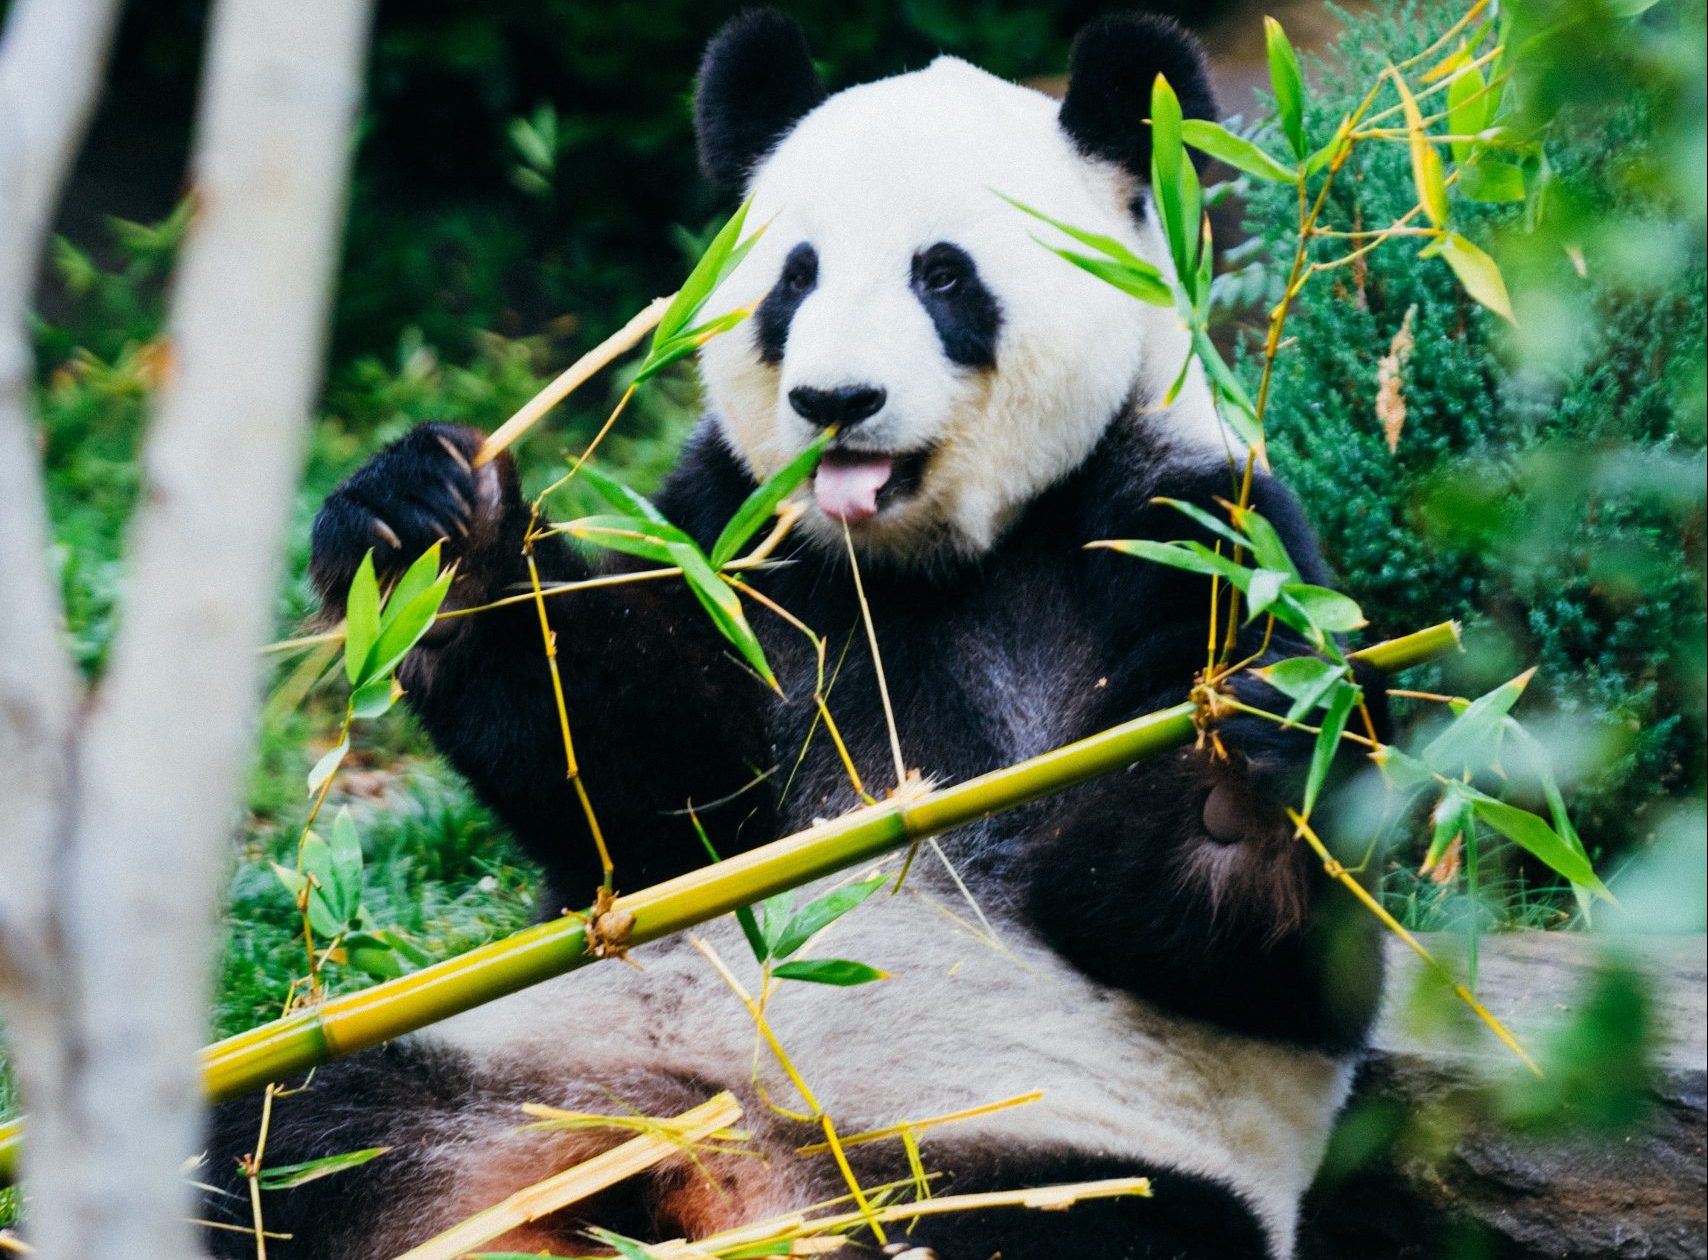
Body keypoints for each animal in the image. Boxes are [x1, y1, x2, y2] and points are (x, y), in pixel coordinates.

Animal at [205, 11, 1386, 1260]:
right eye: (795, 277)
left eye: (942, 274)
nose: (835, 402)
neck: (924, 558)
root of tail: (714, 1175)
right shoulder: (738, 542)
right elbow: (649, 797)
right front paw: (430, 528)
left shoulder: (1191, 532)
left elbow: (1235, 950)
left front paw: (1239, 775)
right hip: (502, 1068)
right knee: (285, 1142)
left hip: (1029, 1157)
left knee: (1085, 1222)